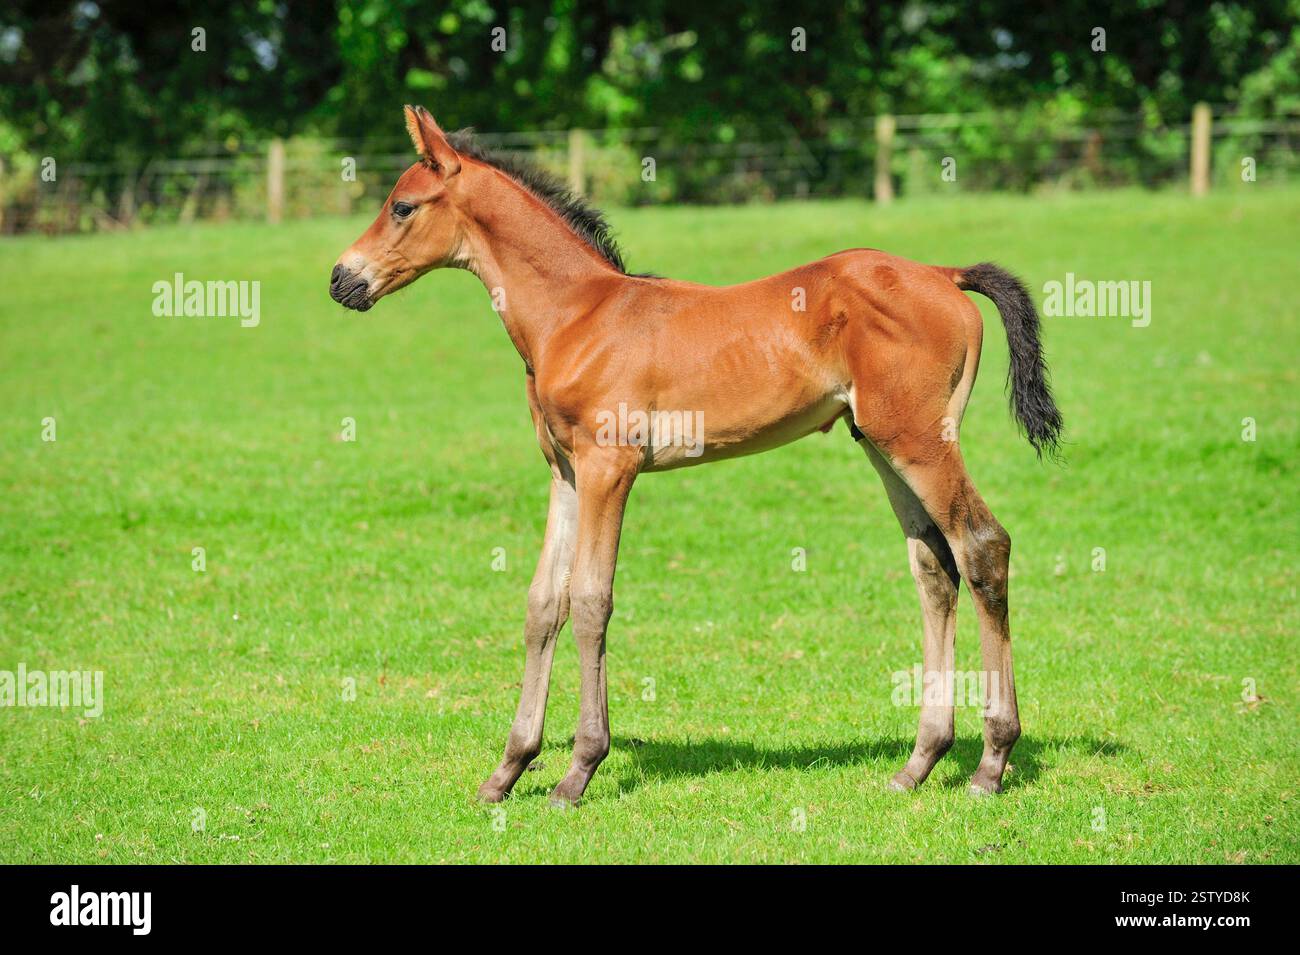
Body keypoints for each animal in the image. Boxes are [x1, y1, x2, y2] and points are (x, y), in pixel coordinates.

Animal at [330, 105, 1063, 806]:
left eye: (402, 205)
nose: (341, 280)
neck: (575, 315)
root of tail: (944, 274)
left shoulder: (609, 468)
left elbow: (591, 600)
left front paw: (578, 772)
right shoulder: (564, 472)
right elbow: (544, 604)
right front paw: (507, 771)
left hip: (918, 440)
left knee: (982, 546)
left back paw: (992, 762)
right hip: (884, 444)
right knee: (935, 568)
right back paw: (919, 762)